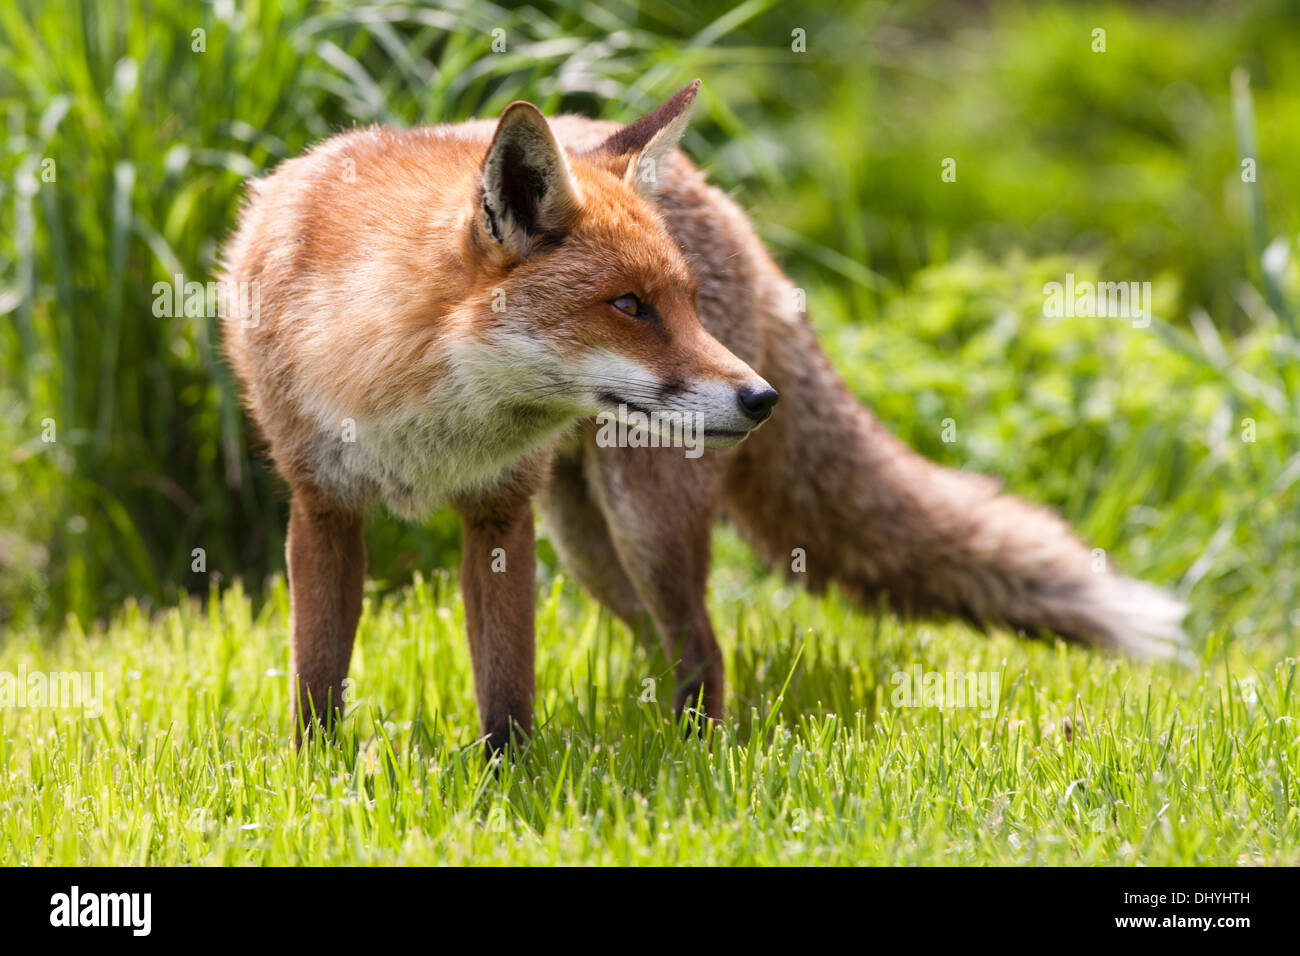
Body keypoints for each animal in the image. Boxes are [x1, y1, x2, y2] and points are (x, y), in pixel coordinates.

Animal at [220, 80, 1186, 752]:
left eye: (681, 304)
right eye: (628, 305)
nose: (762, 400)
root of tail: (713, 189)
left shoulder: (498, 510)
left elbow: (506, 691)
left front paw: (509, 782)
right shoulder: (323, 505)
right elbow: (318, 679)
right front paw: (318, 775)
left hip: (642, 518)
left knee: (705, 650)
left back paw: (698, 757)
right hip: (590, 543)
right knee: (667, 647)